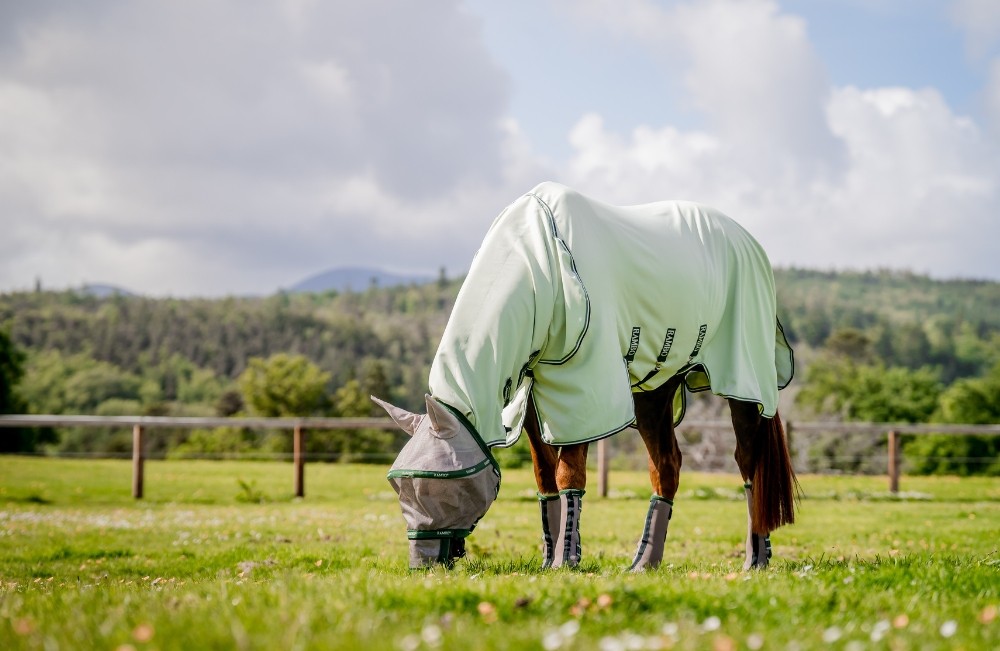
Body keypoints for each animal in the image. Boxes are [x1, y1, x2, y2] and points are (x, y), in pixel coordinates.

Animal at [374, 182, 797, 571]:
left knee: (749, 464)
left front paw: (567, 560)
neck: (540, 260)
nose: (422, 563)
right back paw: (644, 562)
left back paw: (755, 560)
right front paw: (550, 560)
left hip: (744, 383)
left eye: (443, 484)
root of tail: (750, 244)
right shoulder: (529, 395)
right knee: (667, 467)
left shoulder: (583, 387)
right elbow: (544, 477)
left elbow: (568, 474)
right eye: (398, 484)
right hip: (654, 392)